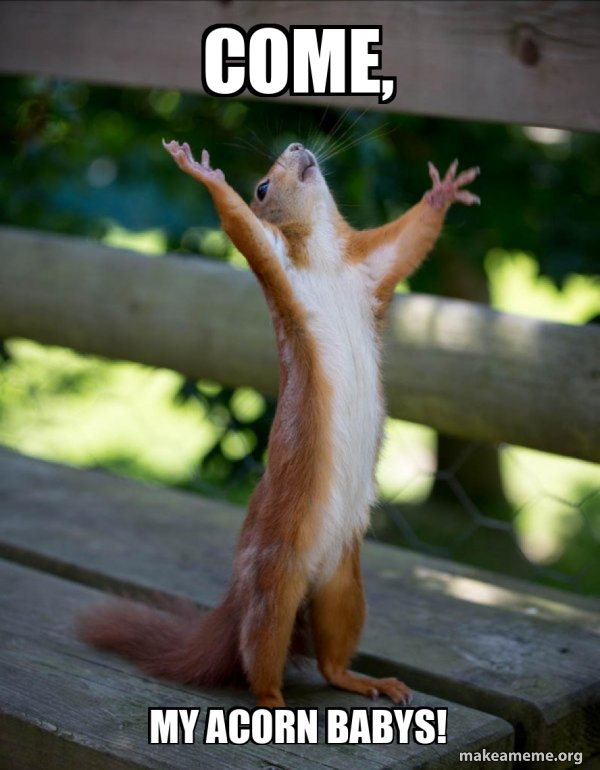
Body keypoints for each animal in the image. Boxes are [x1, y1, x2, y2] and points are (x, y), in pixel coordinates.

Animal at [78, 138, 479, 709]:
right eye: (262, 187)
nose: (296, 146)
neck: (327, 258)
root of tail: (238, 595)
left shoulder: (372, 267)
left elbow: (410, 240)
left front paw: (442, 192)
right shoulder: (277, 264)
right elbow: (240, 225)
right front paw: (203, 173)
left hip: (344, 586)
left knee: (332, 658)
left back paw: (366, 680)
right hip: (274, 582)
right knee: (258, 655)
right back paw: (274, 702)